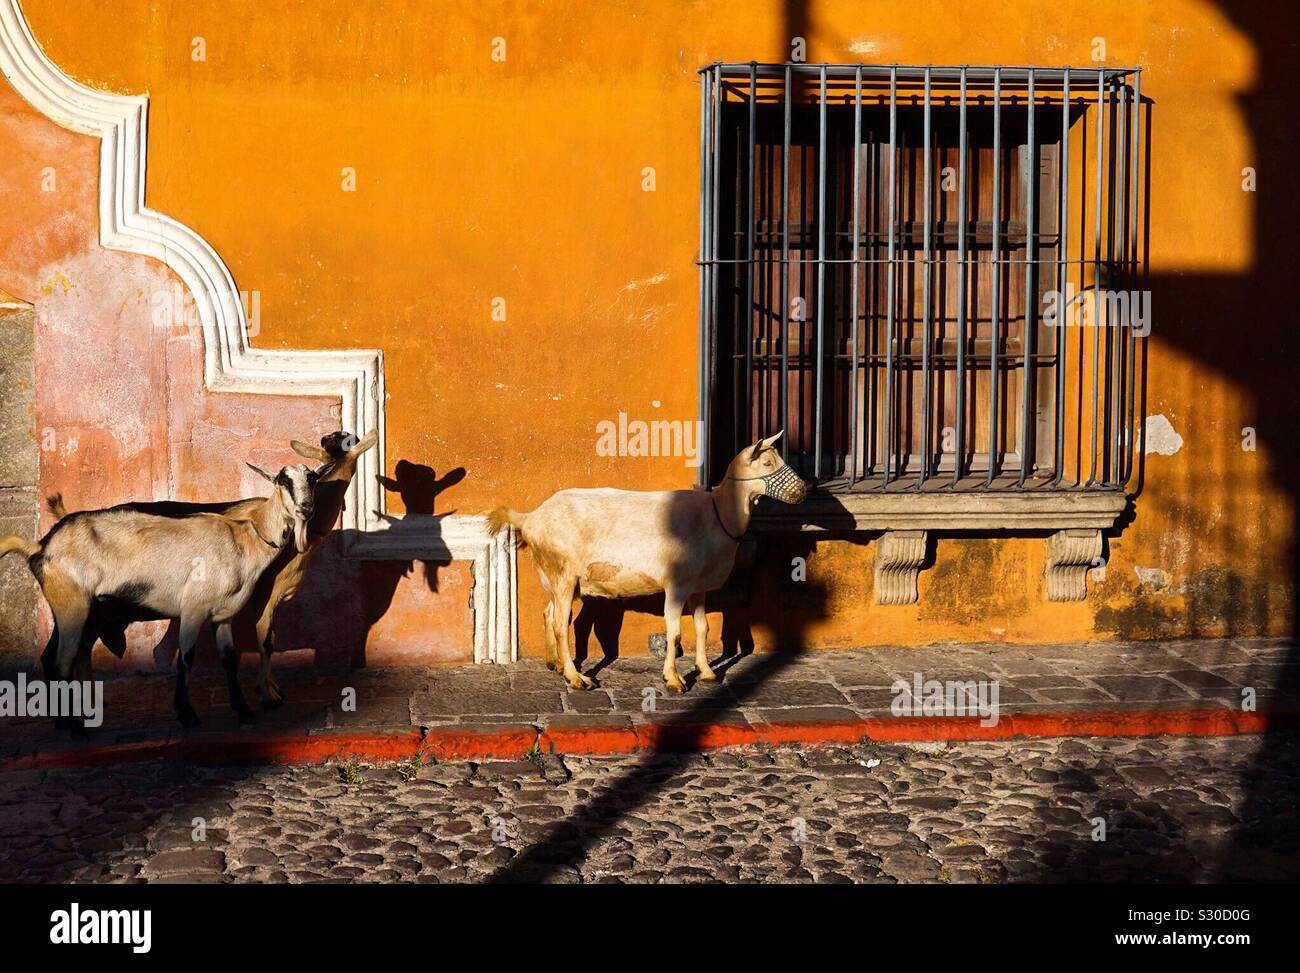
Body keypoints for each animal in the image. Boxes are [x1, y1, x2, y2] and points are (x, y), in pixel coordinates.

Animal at [1, 464, 318, 729]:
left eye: (312, 478)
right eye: (283, 480)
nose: (306, 507)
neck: (245, 536)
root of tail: (40, 547)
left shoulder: (222, 614)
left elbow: (229, 659)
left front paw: (243, 711)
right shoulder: (193, 609)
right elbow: (186, 658)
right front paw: (187, 714)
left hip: (80, 611)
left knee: (62, 655)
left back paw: (71, 719)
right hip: (72, 608)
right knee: (61, 660)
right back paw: (72, 727)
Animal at [41, 428, 378, 710]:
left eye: (314, 477)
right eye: (334, 444)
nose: (307, 508)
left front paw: (268, 688)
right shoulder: (265, 596)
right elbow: (266, 639)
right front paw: (267, 692)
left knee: (80, 650)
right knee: (63, 653)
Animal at [487, 432, 806, 693]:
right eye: (767, 462)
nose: (803, 490)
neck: (717, 515)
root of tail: (531, 517)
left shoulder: (698, 587)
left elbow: (702, 628)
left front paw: (706, 673)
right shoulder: (677, 584)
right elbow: (674, 632)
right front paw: (674, 679)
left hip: (556, 576)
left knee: (550, 613)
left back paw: (555, 665)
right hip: (562, 573)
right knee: (560, 624)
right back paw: (577, 678)